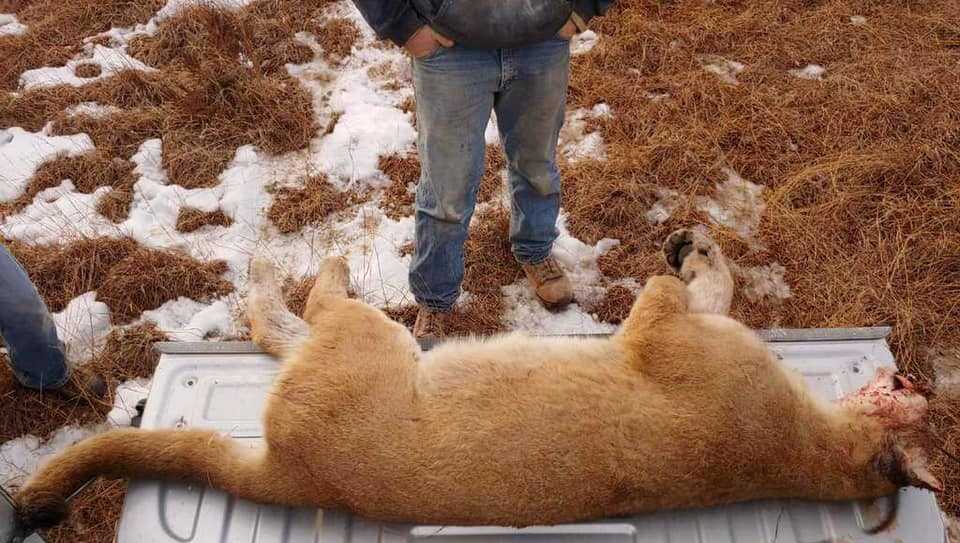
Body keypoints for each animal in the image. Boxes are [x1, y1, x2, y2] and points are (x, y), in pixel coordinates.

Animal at [12, 228, 938, 532]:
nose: (910, 377)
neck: (811, 450)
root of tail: (295, 475)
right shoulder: (685, 330)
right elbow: (719, 292)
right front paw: (698, 246)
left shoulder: (660, 331)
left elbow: (686, 291)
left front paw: (692, 249)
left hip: (367, 347)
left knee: (296, 315)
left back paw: (309, 267)